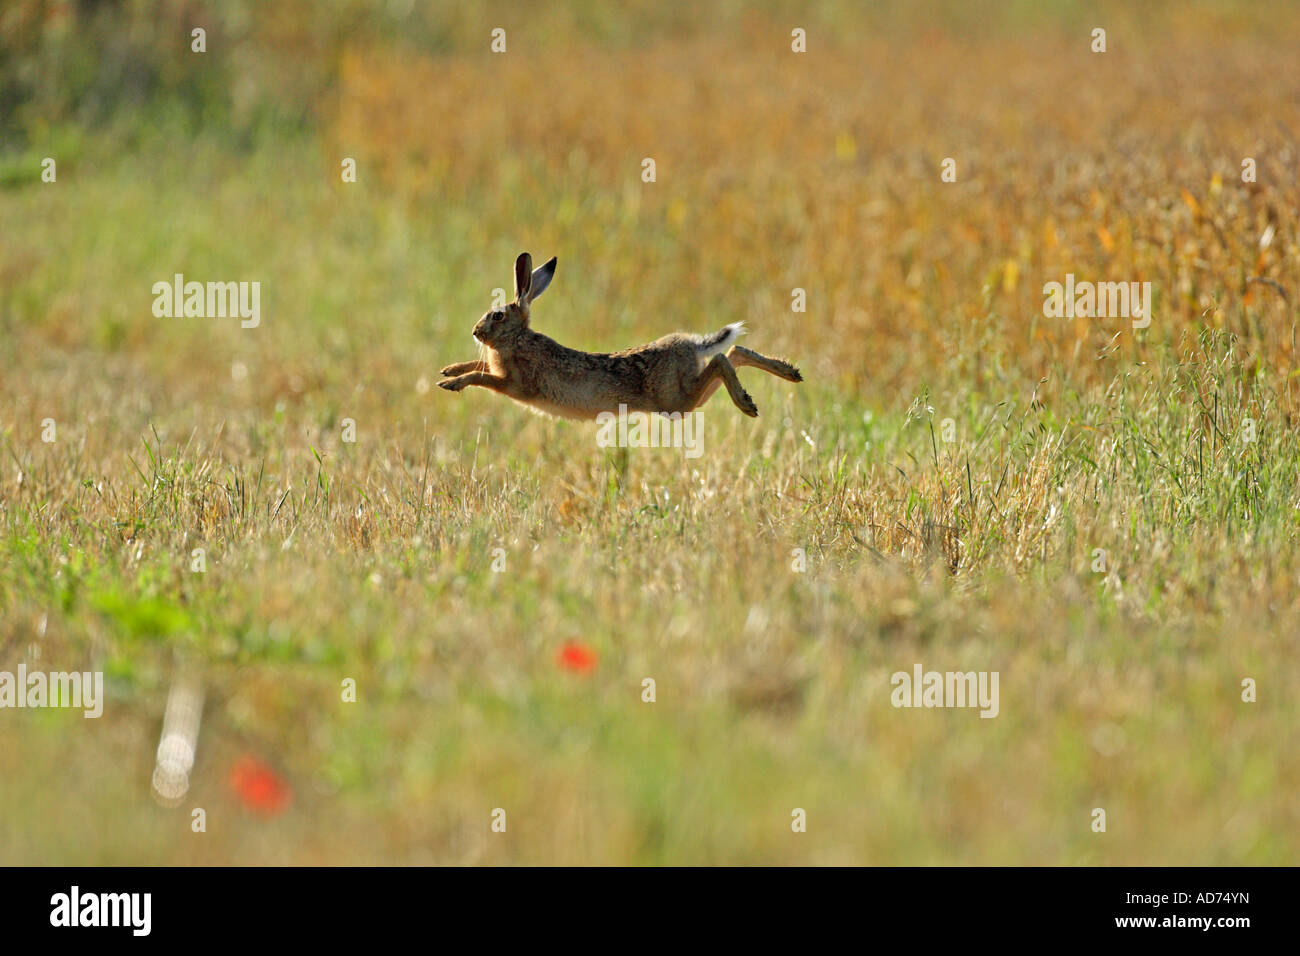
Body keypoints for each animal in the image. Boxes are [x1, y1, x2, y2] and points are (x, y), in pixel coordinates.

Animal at [439, 252, 801, 420]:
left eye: (497, 315)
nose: (475, 332)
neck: (516, 339)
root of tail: (689, 345)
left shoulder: (514, 384)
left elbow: (481, 377)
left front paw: (451, 384)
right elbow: (475, 365)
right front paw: (448, 371)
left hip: (674, 401)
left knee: (723, 360)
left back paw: (746, 402)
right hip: (682, 398)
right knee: (735, 351)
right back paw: (789, 372)